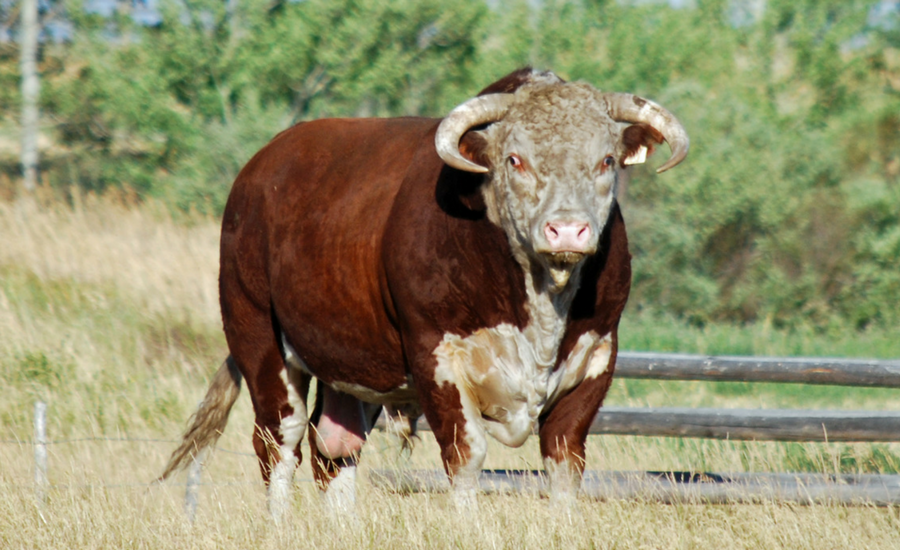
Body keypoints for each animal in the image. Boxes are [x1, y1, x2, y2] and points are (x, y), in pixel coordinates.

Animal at [160, 68, 689, 516]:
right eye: (515, 159)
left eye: (606, 160)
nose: (567, 230)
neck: (541, 303)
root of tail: (258, 168)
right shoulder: (436, 358)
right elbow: (466, 456)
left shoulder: (597, 356)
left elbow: (564, 461)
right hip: (258, 338)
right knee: (278, 444)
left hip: (350, 364)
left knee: (333, 449)